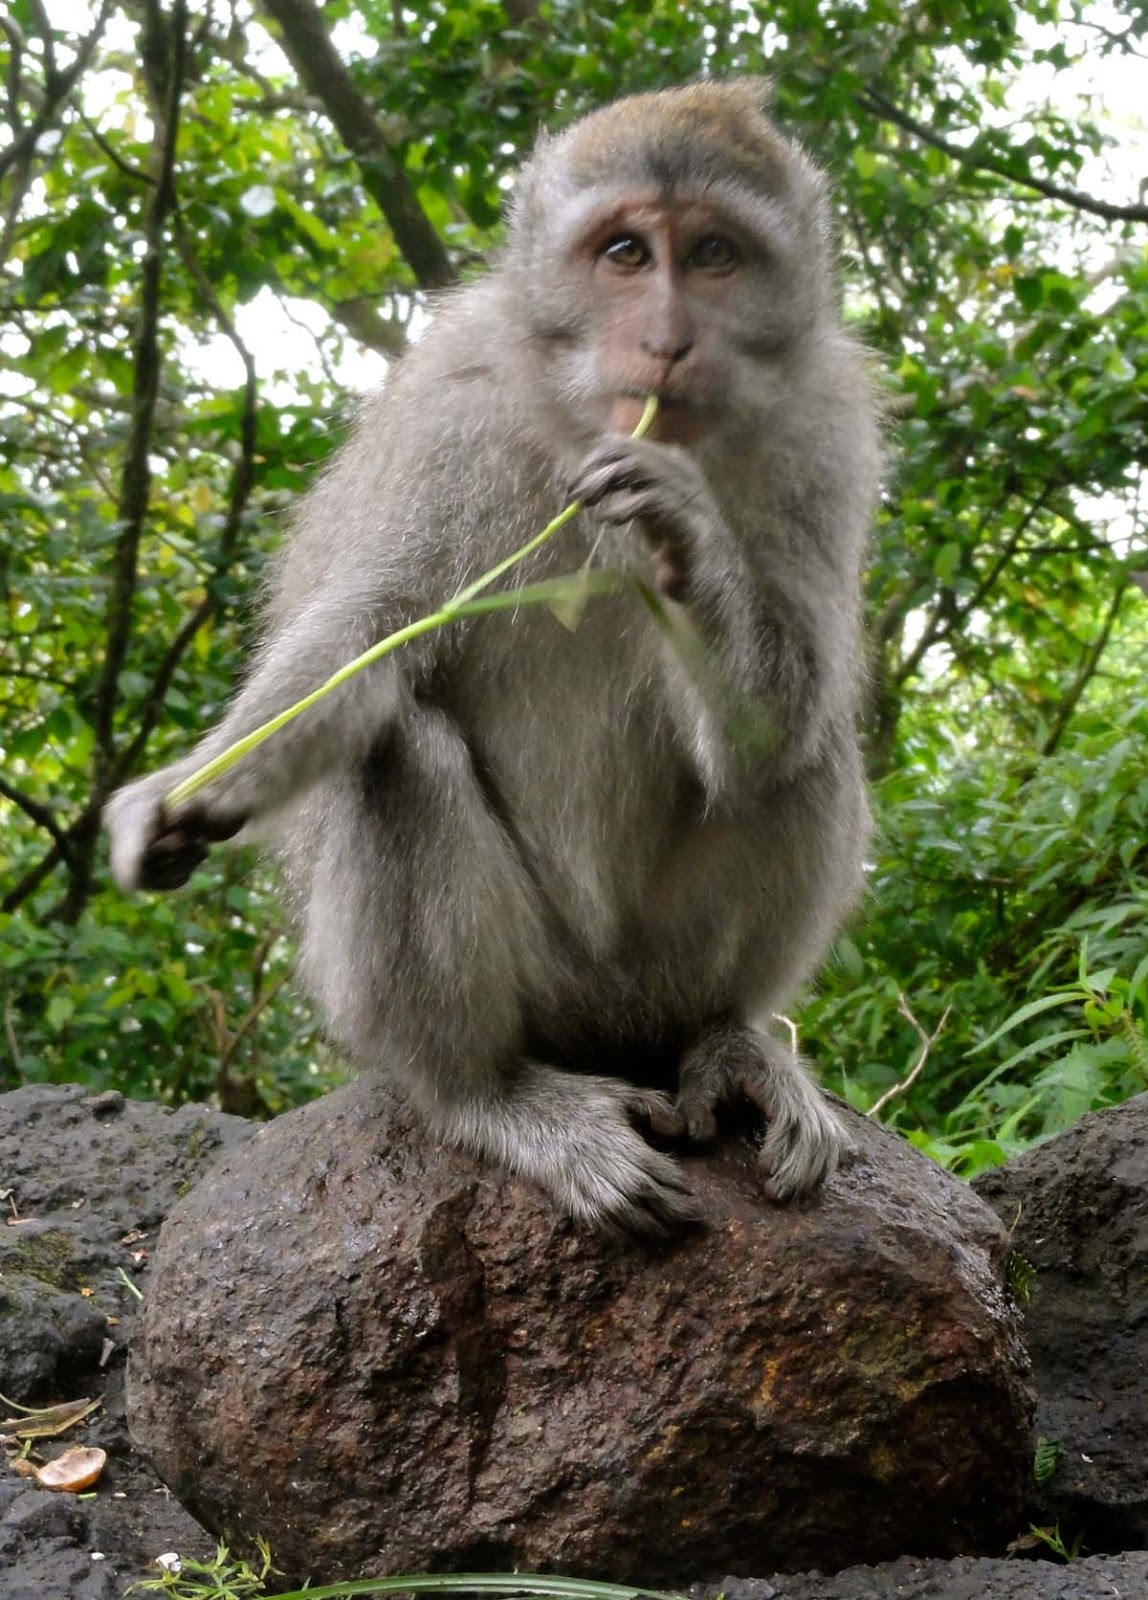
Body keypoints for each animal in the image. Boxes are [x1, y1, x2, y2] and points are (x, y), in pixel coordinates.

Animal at [106, 79, 880, 1235]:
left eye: (711, 254)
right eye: (623, 253)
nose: (665, 342)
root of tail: (612, 1027)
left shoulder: (828, 433)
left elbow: (769, 735)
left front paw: (685, 527)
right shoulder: (455, 409)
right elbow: (370, 634)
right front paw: (189, 789)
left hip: (652, 976)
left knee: (807, 751)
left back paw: (730, 1039)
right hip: (534, 985)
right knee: (397, 753)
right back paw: (488, 1093)